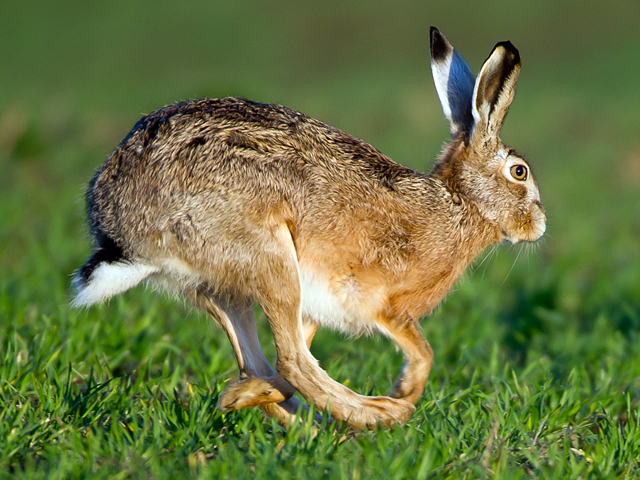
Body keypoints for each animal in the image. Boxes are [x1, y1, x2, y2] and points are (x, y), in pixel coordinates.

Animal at [72, 27, 545, 429]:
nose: (539, 226)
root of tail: (124, 233)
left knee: (261, 361)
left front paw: (250, 397)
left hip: (226, 283)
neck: (460, 203)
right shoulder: (382, 305)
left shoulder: (317, 306)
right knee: (291, 362)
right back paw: (377, 413)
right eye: (519, 172)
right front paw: (403, 393)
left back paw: (278, 410)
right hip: (268, 257)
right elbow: (423, 354)